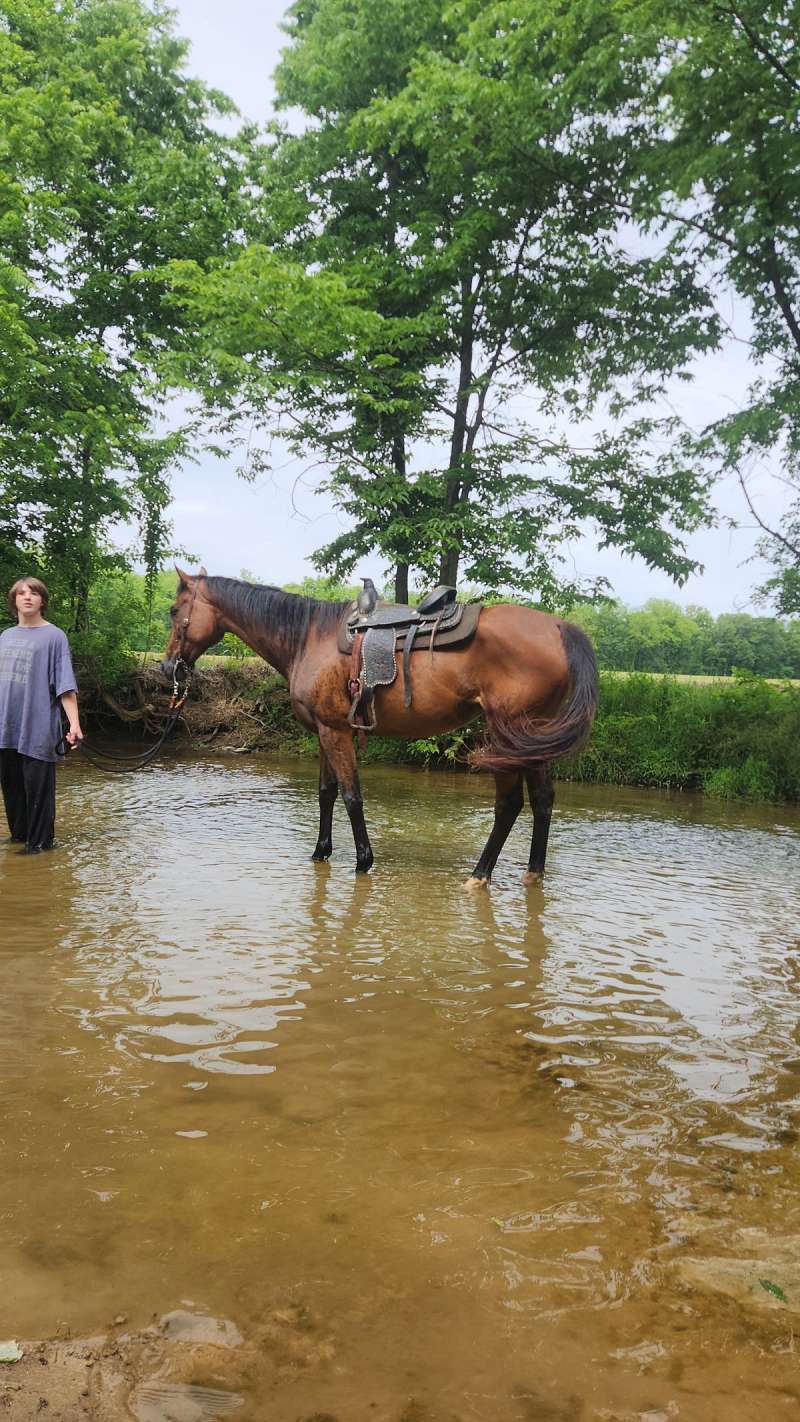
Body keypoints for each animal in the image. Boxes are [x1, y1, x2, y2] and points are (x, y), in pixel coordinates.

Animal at [162, 567, 598, 885]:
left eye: (174, 611)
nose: (168, 667)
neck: (308, 637)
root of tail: (559, 628)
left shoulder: (335, 731)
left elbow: (351, 796)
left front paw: (363, 860)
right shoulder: (325, 732)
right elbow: (326, 794)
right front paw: (321, 852)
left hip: (505, 735)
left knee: (509, 805)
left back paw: (478, 875)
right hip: (533, 738)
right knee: (543, 800)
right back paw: (532, 874)